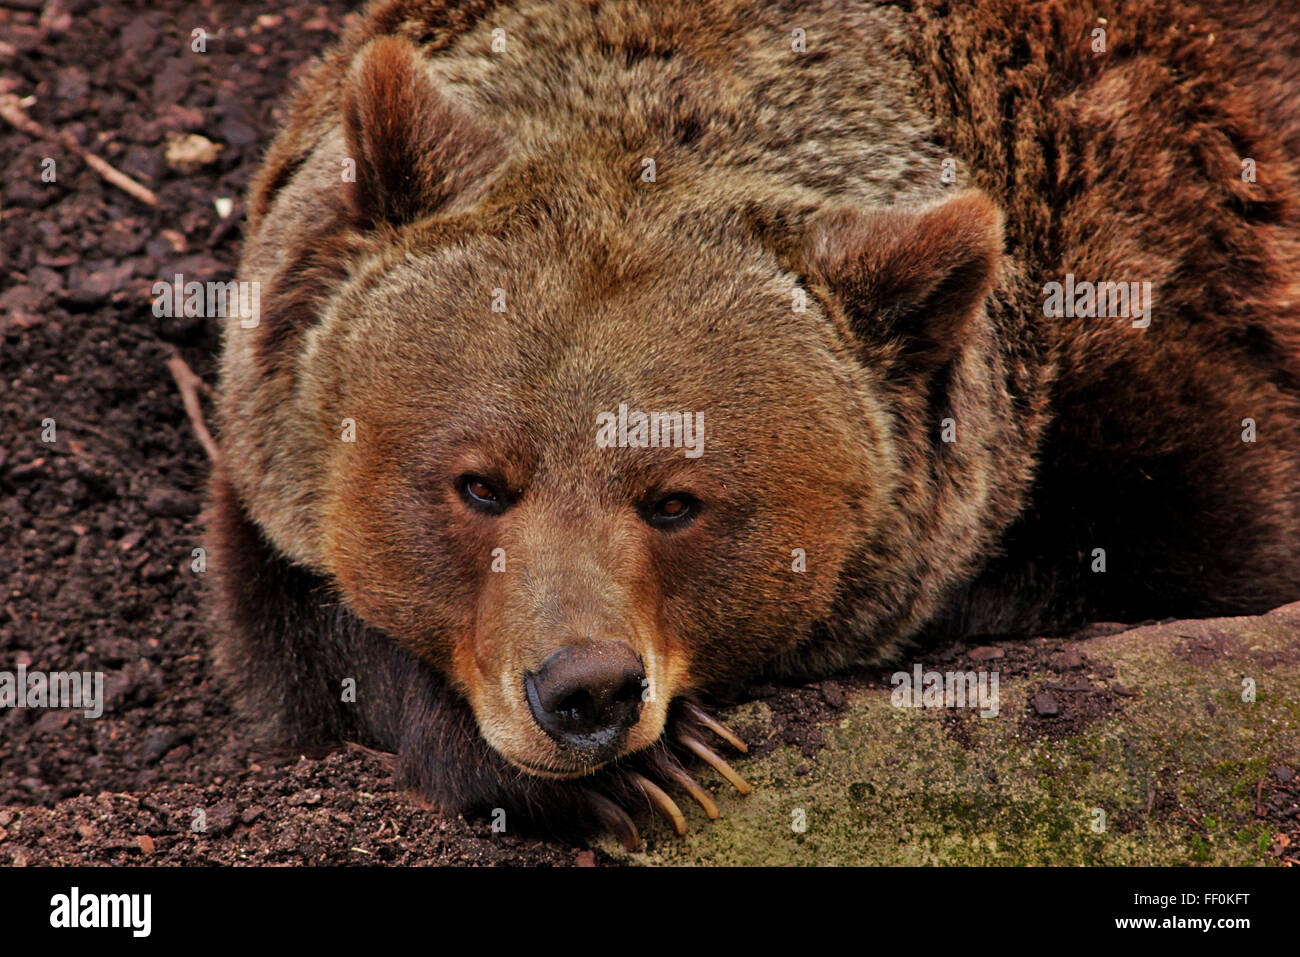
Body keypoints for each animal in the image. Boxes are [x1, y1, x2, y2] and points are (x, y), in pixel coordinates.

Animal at [206, 0, 1300, 848]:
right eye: (479, 483)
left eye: (675, 501)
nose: (587, 690)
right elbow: (300, 624)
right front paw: (644, 771)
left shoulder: (1177, 343)